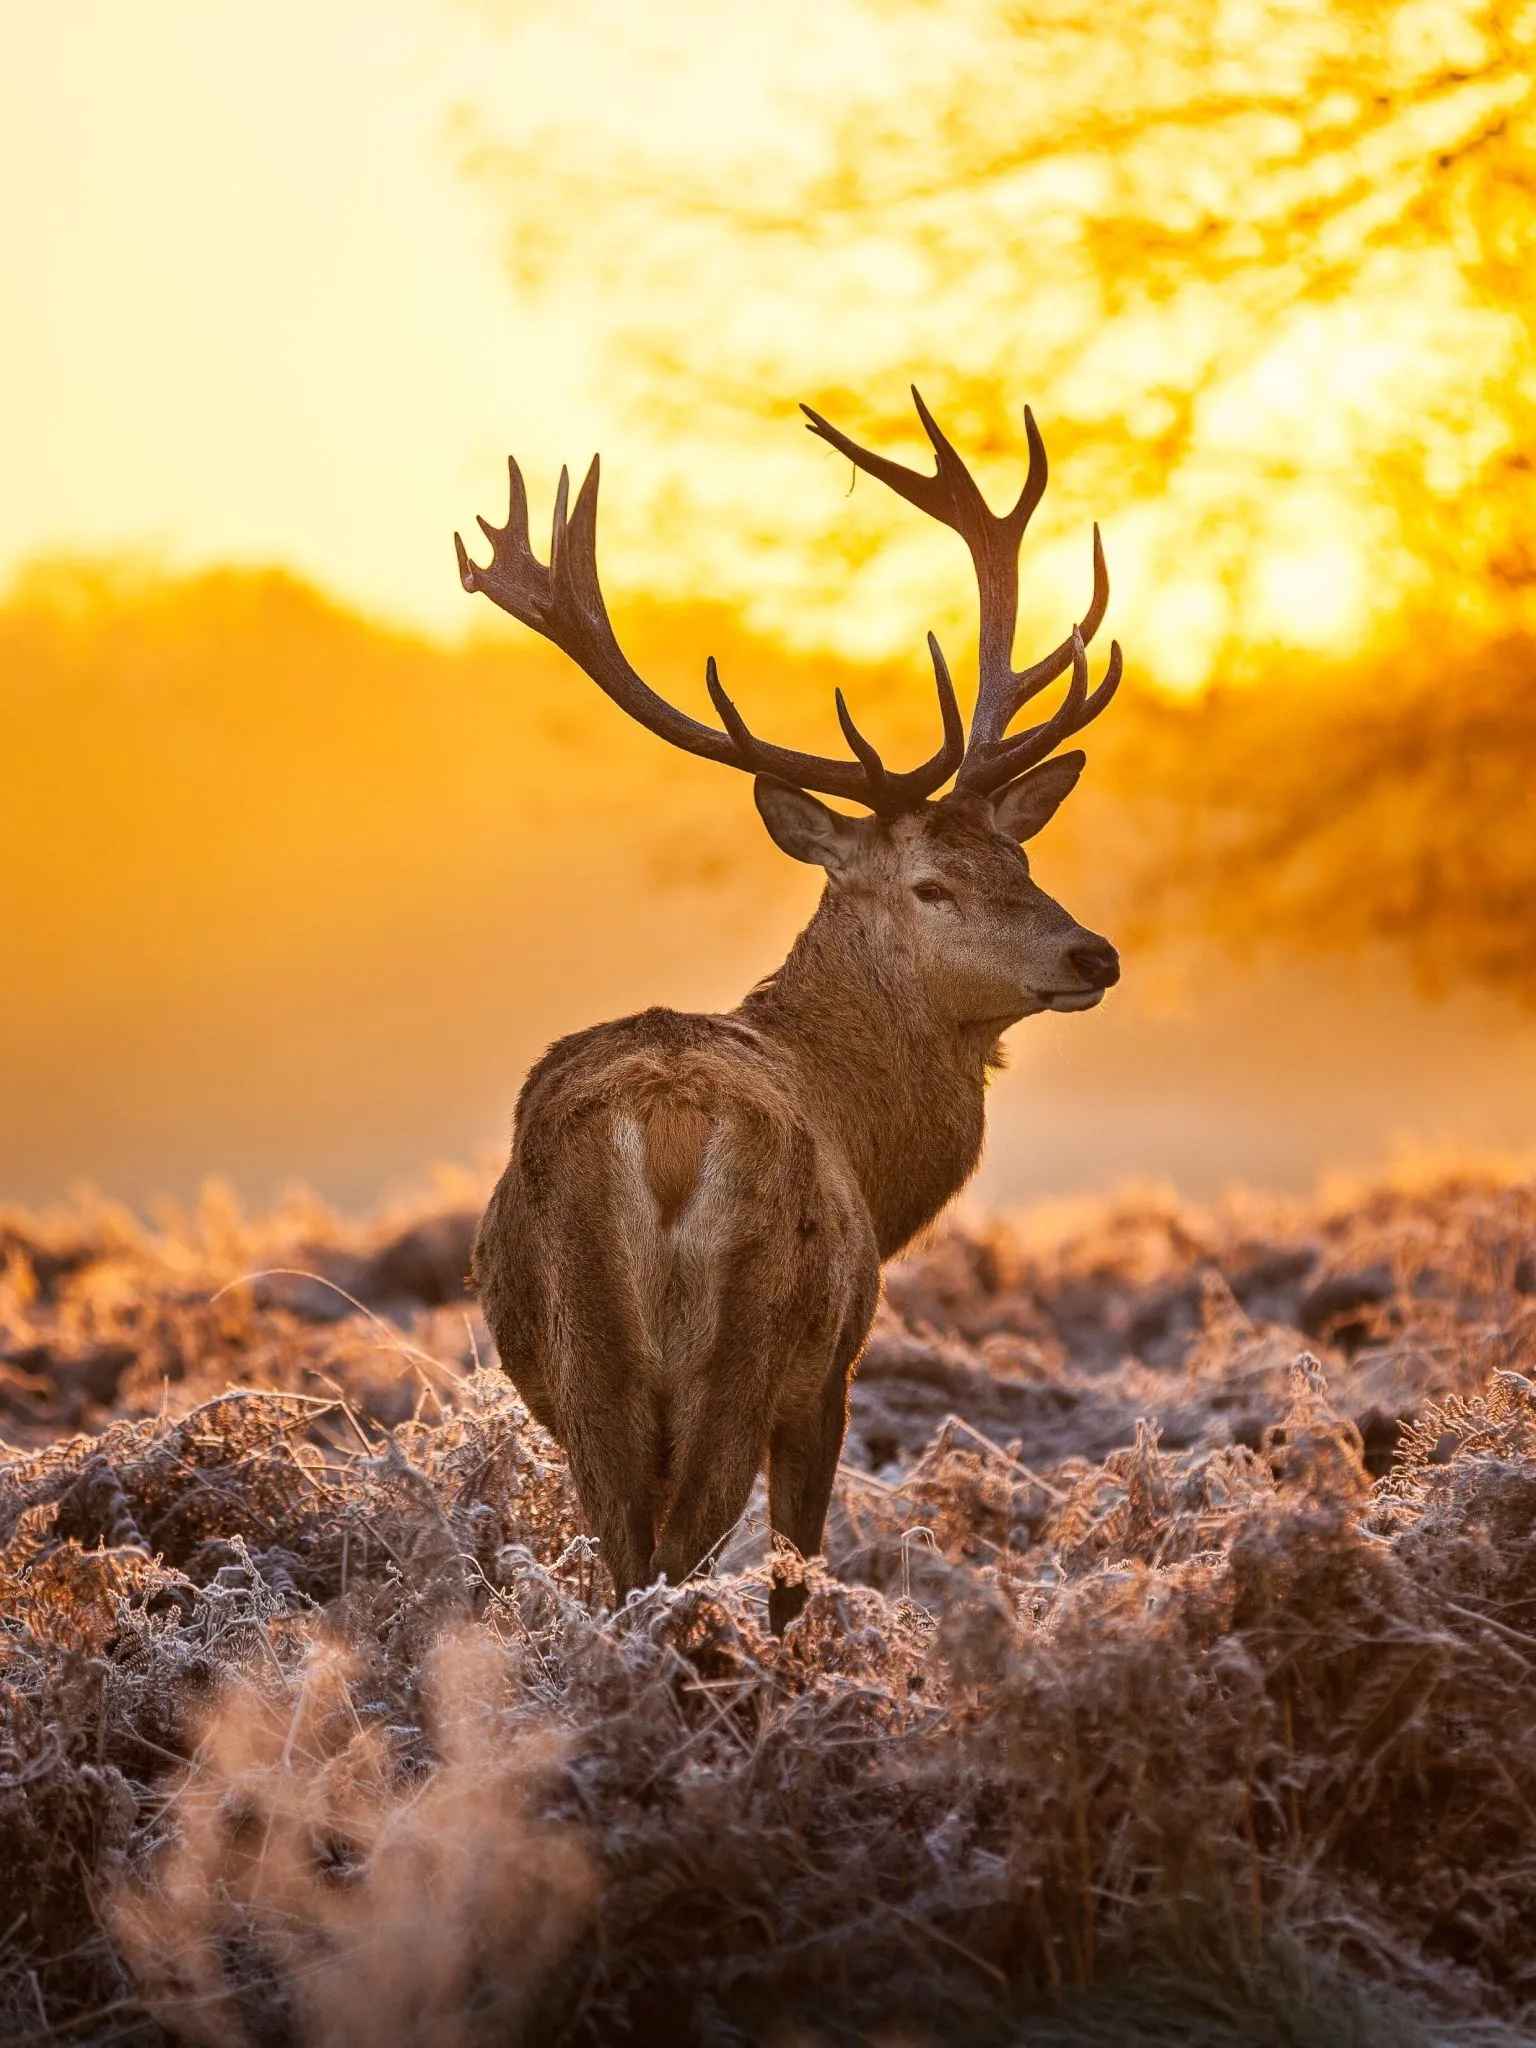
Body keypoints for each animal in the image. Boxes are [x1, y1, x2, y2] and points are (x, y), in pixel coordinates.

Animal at [457, 389, 1121, 1633]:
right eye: (932, 884)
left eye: (1020, 855)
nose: (1093, 951)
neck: (873, 1146)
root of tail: (666, 1126)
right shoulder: (833, 1369)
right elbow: (794, 1575)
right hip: (750, 1340)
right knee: (681, 1556)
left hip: (584, 1361)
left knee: (627, 1556)